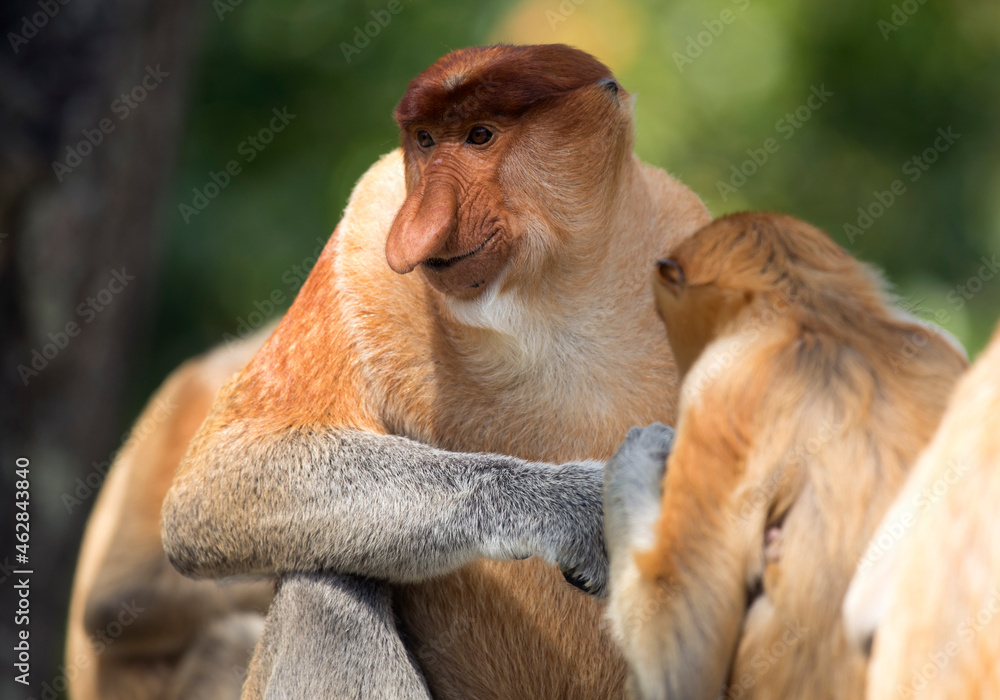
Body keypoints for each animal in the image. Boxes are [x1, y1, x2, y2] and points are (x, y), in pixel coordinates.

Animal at [155, 44, 713, 699]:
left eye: (480, 136)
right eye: (424, 141)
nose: (417, 229)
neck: (550, 300)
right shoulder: (366, 234)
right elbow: (218, 476)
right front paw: (583, 504)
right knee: (325, 588)